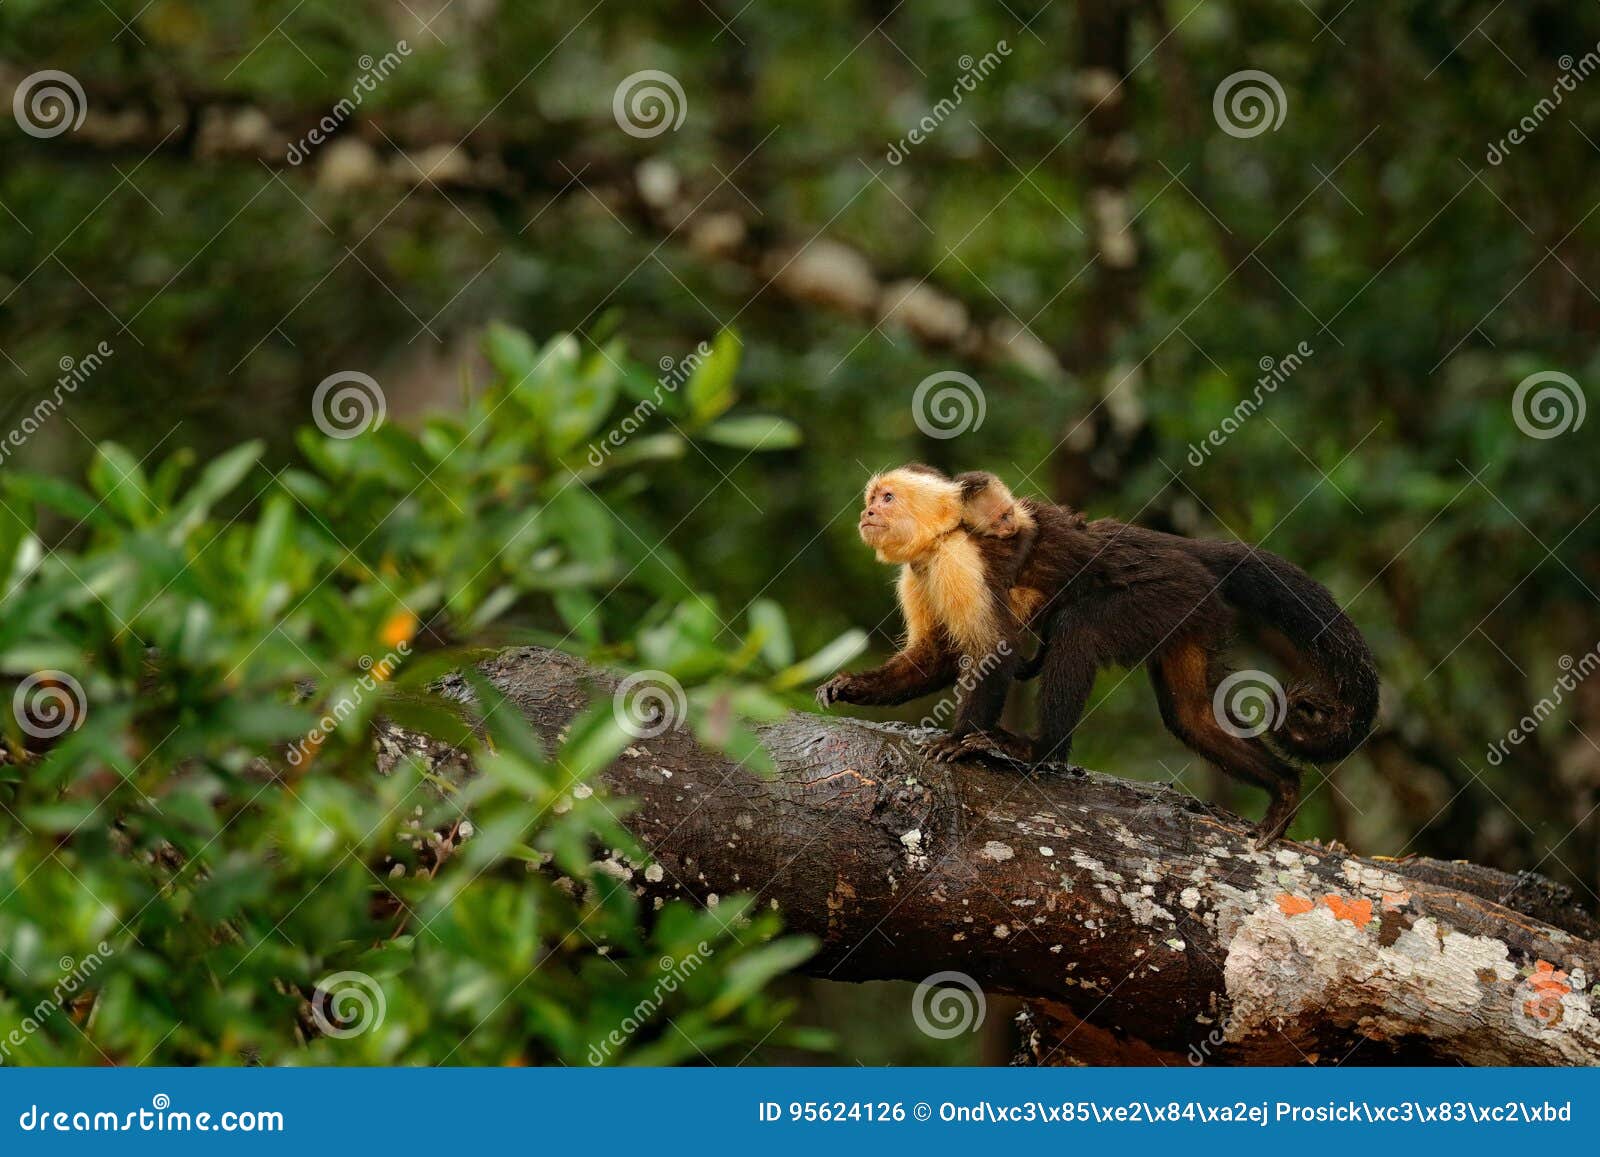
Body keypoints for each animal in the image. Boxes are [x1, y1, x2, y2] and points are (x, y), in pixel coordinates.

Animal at [816, 464, 1380, 844]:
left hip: (1162, 593)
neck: (939, 543)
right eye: (873, 498)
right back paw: (1283, 787)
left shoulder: (961, 561)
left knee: (1079, 629)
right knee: (1191, 716)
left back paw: (1039, 751)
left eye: (887, 497)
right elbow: (934, 659)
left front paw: (958, 739)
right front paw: (853, 687)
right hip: (1188, 612)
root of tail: (1180, 549)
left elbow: (994, 652)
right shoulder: (918, 573)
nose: (867, 512)